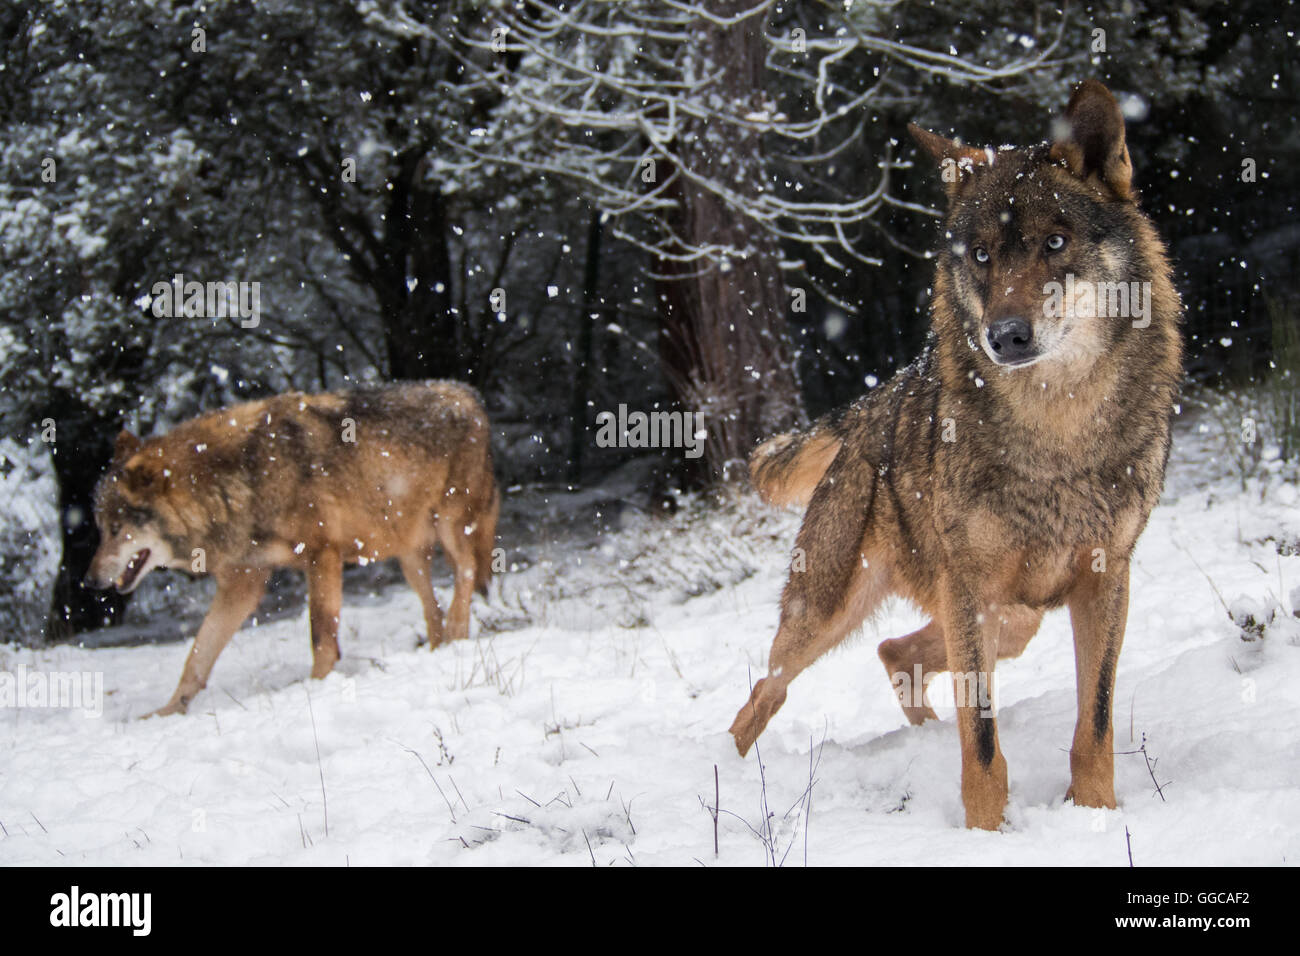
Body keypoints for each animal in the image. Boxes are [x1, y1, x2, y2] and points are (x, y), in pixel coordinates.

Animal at [86, 380, 500, 716]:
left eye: (117, 529)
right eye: (100, 529)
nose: (89, 582)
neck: (240, 480)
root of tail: (471, 395)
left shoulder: (322, 555)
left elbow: (321, 635)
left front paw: (316, 687)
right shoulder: (243, 582)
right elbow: (197, 655)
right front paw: (167, 711)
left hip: (450, 526)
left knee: (465, 572)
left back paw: (457, 634)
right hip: (409, 557)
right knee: (434, 607)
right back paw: (440, 648)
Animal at [728, 81, 1182, 829]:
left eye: (1055, 242)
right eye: (981, 256)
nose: (1006, 336)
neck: (1056, 429)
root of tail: (868, 407)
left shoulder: (1106, 578)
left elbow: (1095, 724)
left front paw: (1095, 816)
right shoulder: (971, 589)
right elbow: (985, 743)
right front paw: (987, 834)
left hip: (1010, 618)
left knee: (894, 651)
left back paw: (922, 736)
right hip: (828, 616)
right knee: (764, 695)